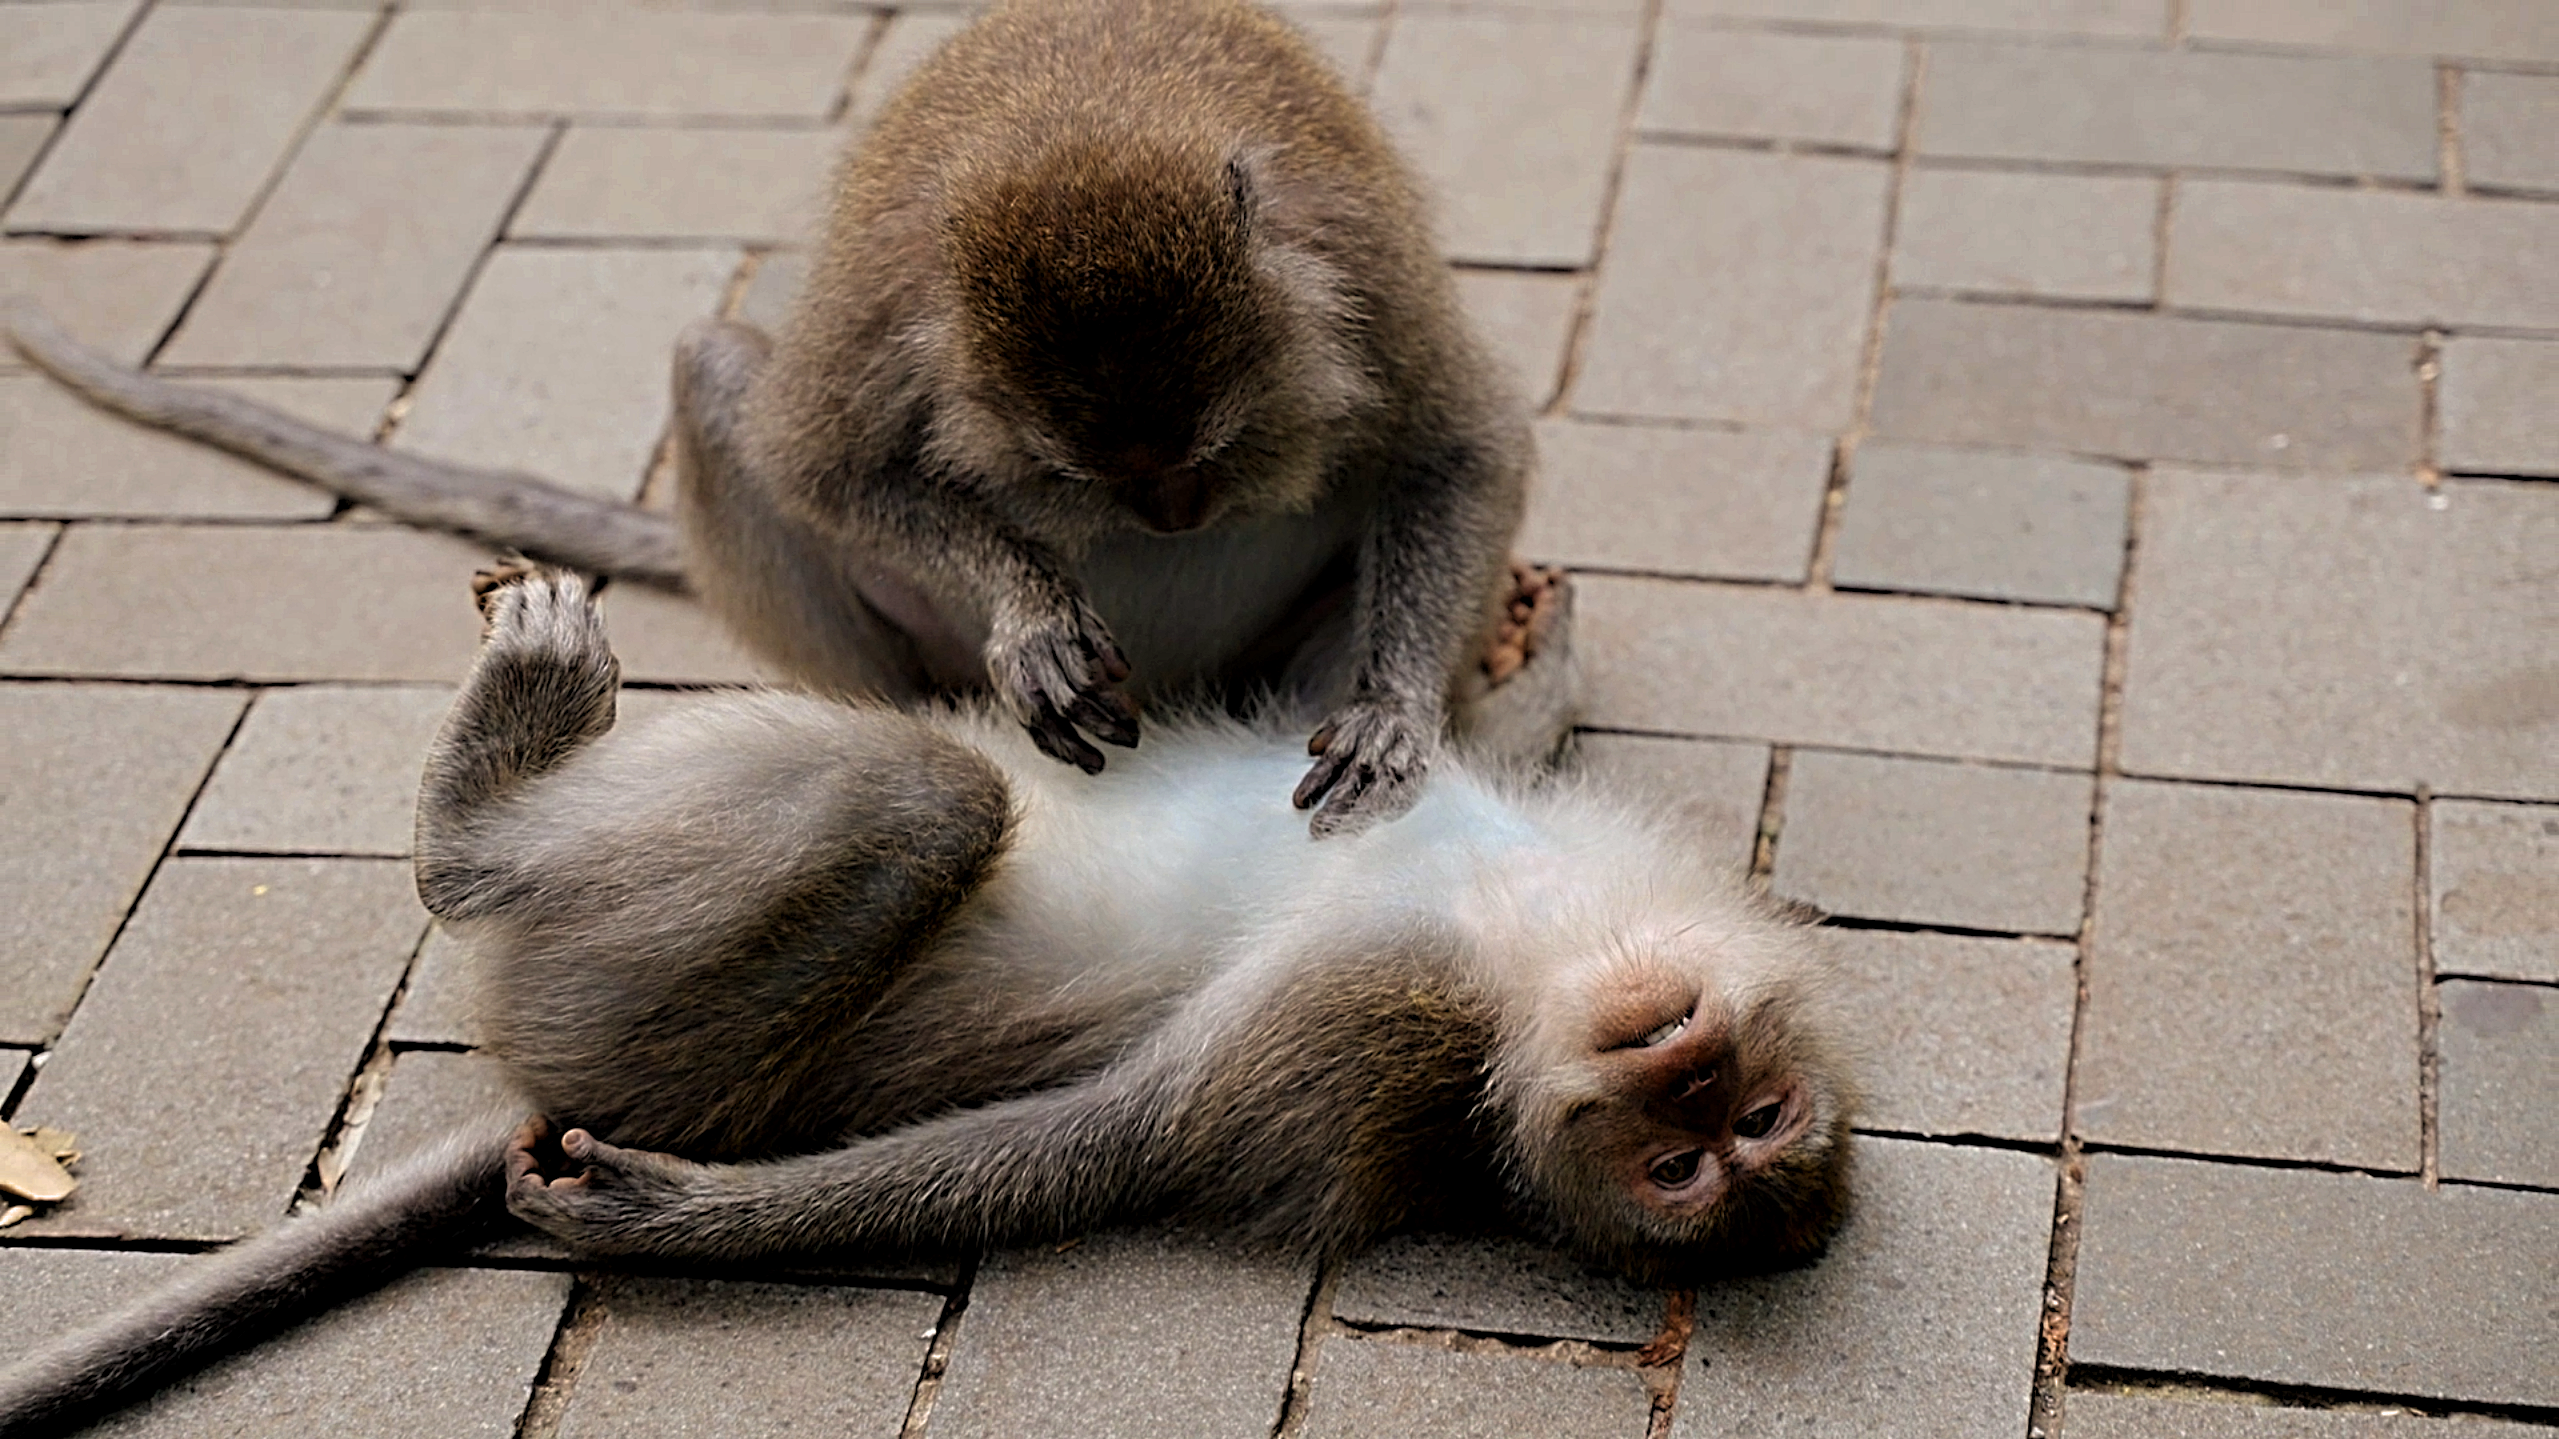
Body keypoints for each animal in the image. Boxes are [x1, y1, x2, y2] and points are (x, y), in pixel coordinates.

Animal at [0, 564, 1854, 1435]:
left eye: (1716, 1144)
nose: (1677, 1058)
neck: (1521, 941)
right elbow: (1473, 740)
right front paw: (1525, 648)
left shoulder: (1368, 1033)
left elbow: (1113, 1134)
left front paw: (682, 1219)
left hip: (604, 994)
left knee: (915, 796)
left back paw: (475, 819)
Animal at [2, 0, 1534, 835]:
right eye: (1083, 475)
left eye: (1205, 455)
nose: (1170, 513)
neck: (1098, 124)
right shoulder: (895, 297)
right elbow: (821, 460)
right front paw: (1027, 612)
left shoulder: (1352, 260)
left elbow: (1455, 446)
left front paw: (1392, 712)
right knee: (714, 371)